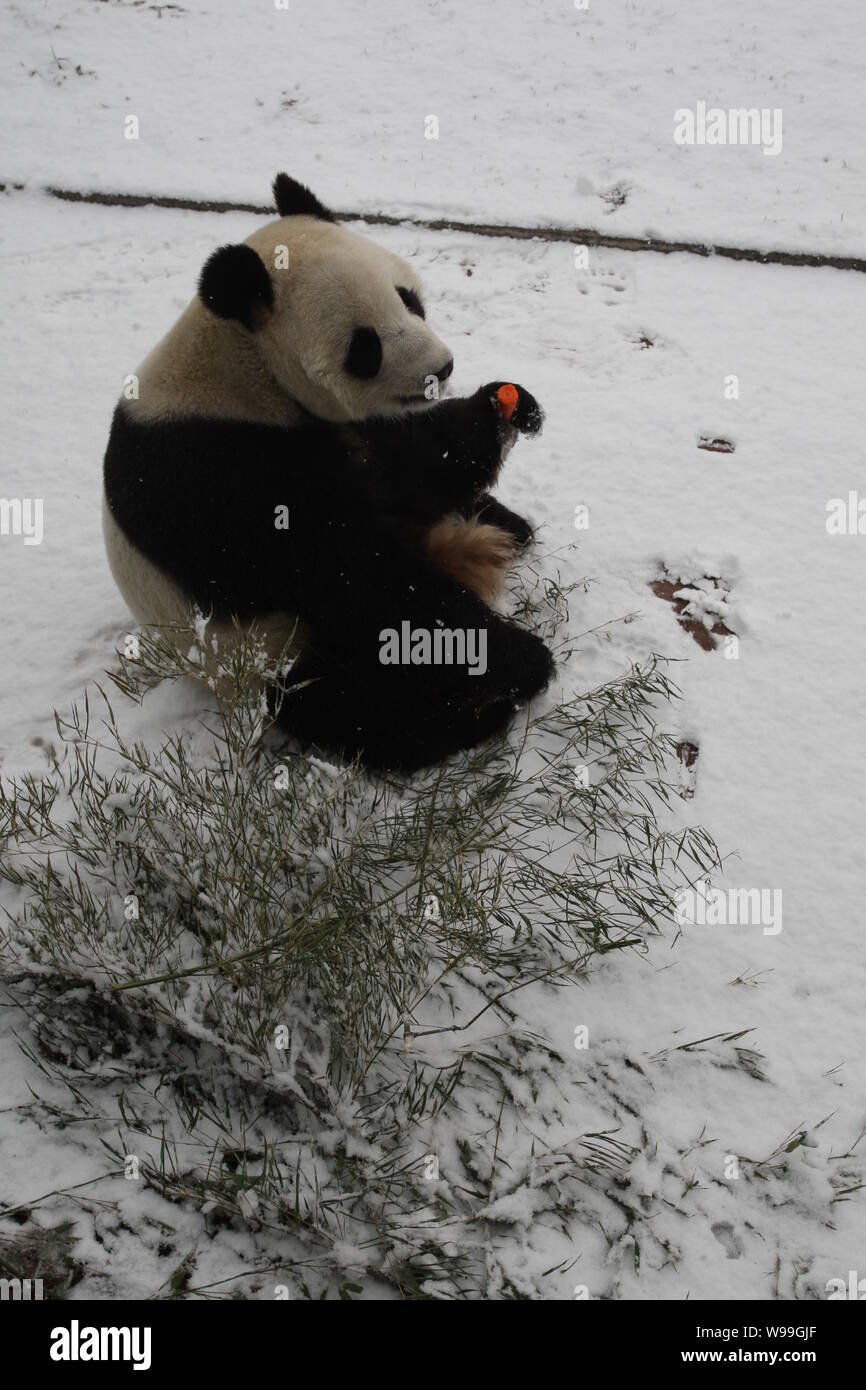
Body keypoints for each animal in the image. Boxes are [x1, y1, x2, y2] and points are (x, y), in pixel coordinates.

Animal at [103, 173, 554, 771]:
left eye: (407, 298)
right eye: (365, 346)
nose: (442, 368)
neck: (243, 363)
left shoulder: (333, 429)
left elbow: (409, 465)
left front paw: (507, 405)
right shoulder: (218, 472)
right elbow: (357, 577)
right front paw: (522, 657)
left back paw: (505, 524)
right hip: (261, 649)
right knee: (353, 702)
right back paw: (475, 714)